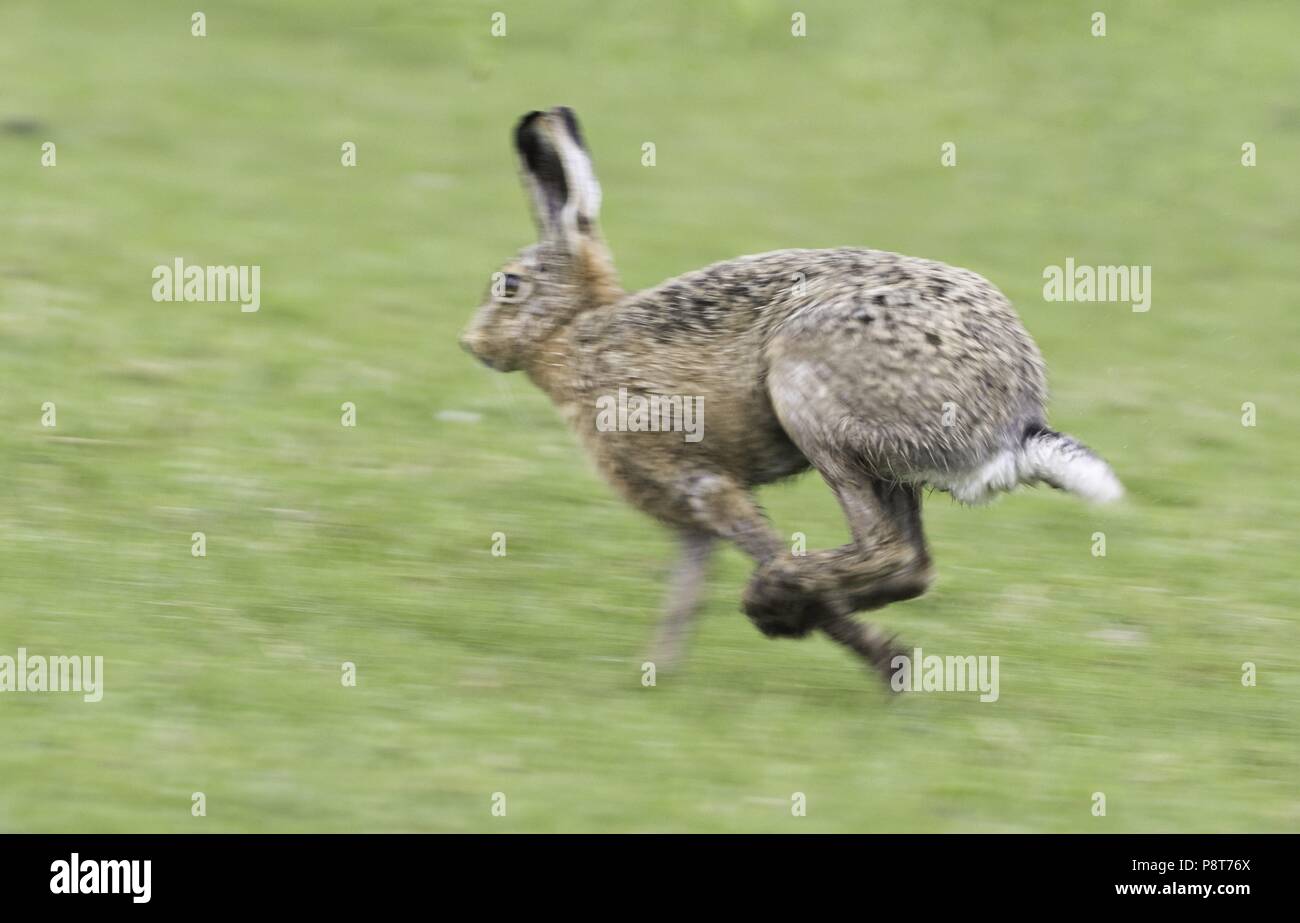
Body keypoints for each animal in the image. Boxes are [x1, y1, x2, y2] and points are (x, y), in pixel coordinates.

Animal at [460, 106, 1123, 682]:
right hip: (887, 466)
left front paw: (882, 663)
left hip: (811, 405)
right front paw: (657, 674)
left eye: (509, 285)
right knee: (912, 563)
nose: (472, 343)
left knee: (887, 552)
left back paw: (779, 606)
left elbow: (748, 549)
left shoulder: (703, 483)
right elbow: (685, 592)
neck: (577, 334)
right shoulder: (688, 520)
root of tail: (1016, 423)